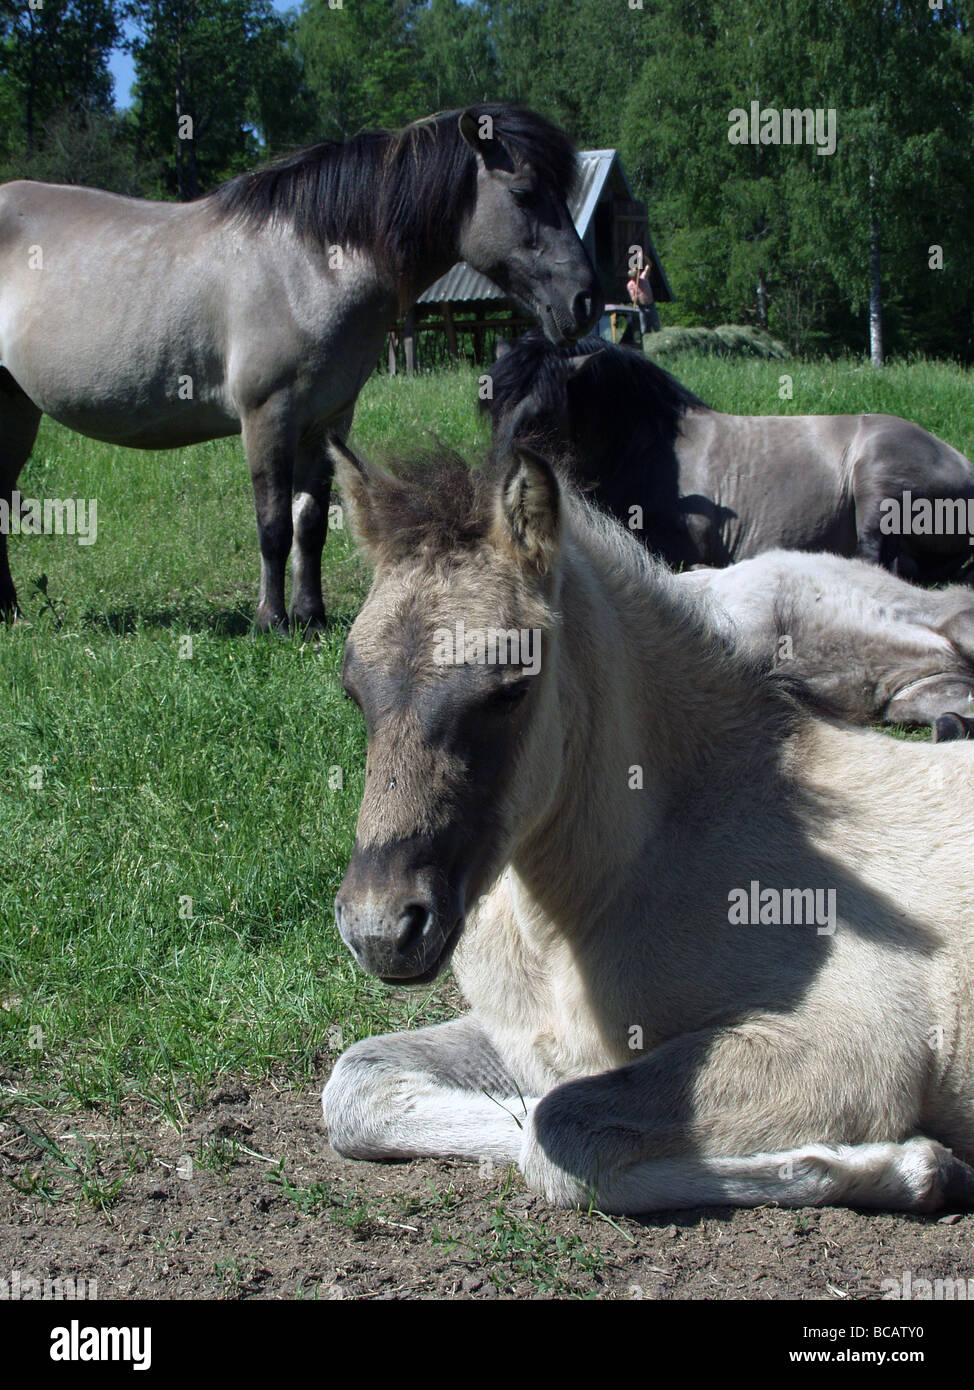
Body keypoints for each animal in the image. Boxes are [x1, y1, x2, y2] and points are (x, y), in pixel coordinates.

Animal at [0, 106, 599, 629]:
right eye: (524, 194)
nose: (584, 300)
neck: (310, 267)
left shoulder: (328, 420)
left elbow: (311, 523)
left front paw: (311, 616)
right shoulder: (268, 415)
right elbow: (272, 525)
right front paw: (271, 620)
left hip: (18, 411)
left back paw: (11, 613)